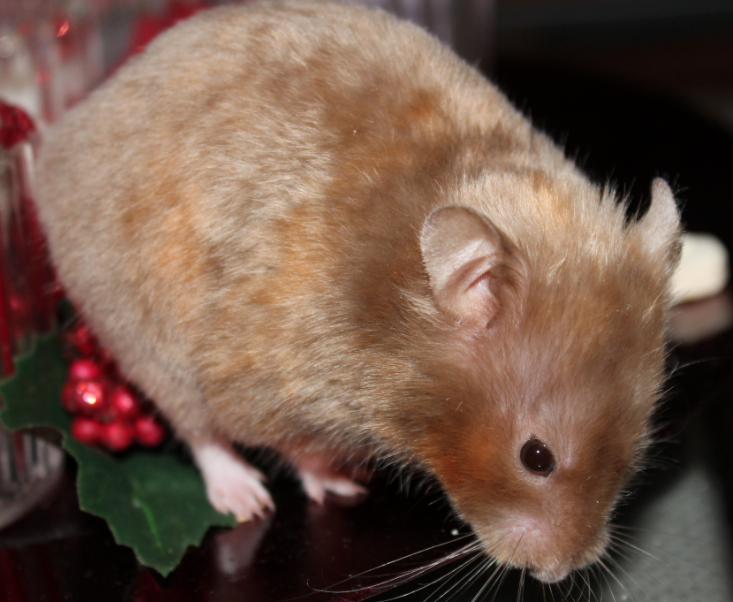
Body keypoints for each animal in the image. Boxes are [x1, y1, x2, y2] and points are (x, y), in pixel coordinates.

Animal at [35, 1, 681, 584]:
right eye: (536, 457)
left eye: (639, 442)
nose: (560, 572)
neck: (393, 315)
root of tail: (64, 137)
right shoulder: (262, 378)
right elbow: (287, 442)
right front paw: (341, 483)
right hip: (139, 327)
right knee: (195, 426)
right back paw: (248, 496)